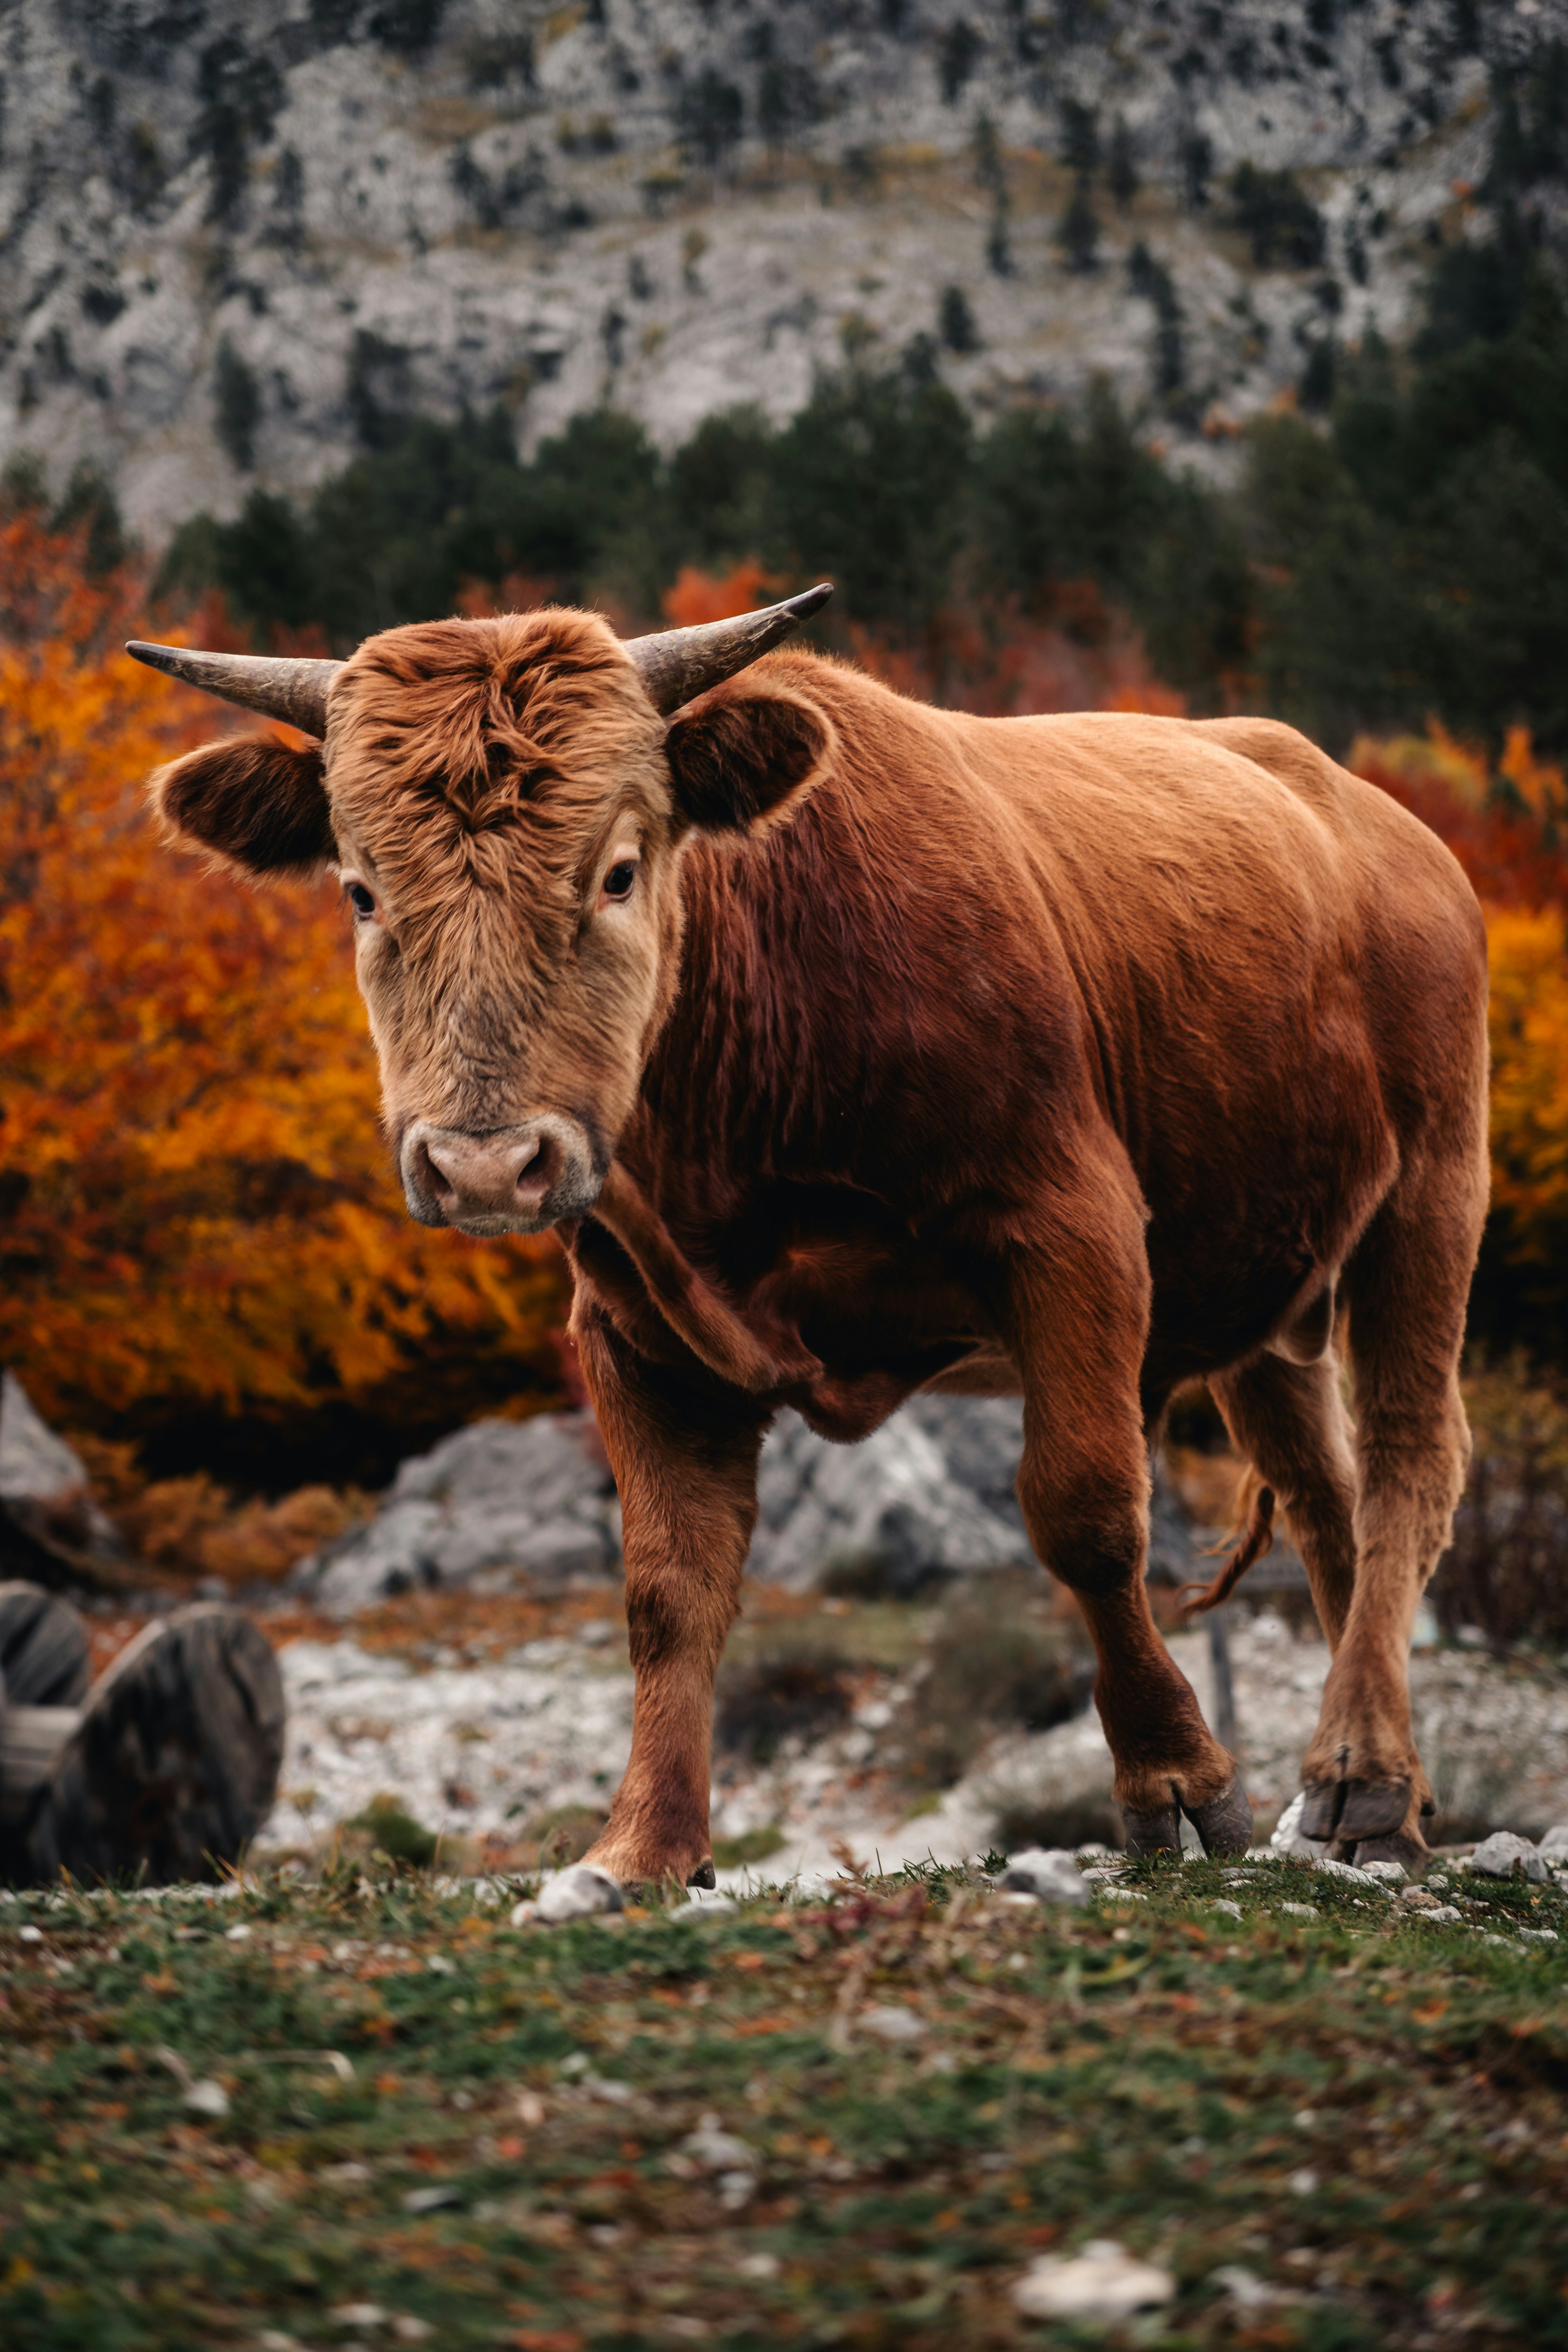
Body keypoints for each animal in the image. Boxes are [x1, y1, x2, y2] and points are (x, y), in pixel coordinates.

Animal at [130, 587, 1489, 1886]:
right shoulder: (634, 1328)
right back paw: (1389, 1796)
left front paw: (1171, 1777)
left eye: (618, 871)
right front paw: (644, 1844)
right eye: (361, 890)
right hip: (1264, 1283)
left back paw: (1361, 1774)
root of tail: (1377, 816)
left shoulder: (1072, 1228)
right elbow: (668, 1587)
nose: (483, 1163)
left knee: (1409, 1459)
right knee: (1326, 1499)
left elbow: (1086, 1512)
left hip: (1428, 1195)